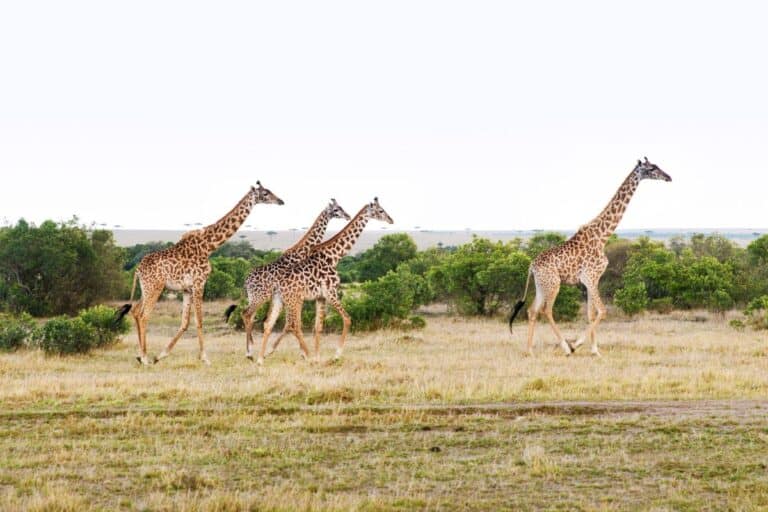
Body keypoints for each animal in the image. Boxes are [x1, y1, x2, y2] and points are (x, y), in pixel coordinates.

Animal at [115, 182, 284, 365]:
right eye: (265, 193)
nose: (281, 201)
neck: (209, 246)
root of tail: (138, 269)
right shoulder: (199, 283)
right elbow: (199, 320)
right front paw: (205, 358)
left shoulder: (187, 289)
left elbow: (185, 322)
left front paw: (161, 355)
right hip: (155, 287)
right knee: (144, 315)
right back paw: (144, 358)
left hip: (146, 288)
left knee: (135, 311)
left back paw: (141, 356)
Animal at [225, 199, 351, 360]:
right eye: (336, 209)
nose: (347, 216)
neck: (300, 252)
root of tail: (246, 280)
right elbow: (292, 322)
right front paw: (303, 353)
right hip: (260, 297)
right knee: (246, 313)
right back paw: (249, 352)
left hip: (255, 297)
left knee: (249, 315)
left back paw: (252, 348)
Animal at [256, 198, 393, 365]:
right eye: (380, 211)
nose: (391, 220)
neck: (334, 256)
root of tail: (276, 284)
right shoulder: (331, 292)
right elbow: (347, 319)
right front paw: (335, 355)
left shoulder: (320, 297)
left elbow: (318, 327)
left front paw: (318, 358)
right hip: (294, 300)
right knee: (293, 324)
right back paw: (303, 355)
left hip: (280, 300)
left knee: (271, 323)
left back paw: (260, 358)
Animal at [508, 158, 671, 357]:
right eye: (651, 168)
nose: (668, 177)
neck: (602, 236)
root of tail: (531, 265)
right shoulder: (590, 277)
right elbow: (602, 311)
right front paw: (577, 345)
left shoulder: (592, 280)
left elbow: (591, 313)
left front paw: (594, 350)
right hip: (554, 283)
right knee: (547, 310)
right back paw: (565, 347)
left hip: (541, 284)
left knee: (532, 310)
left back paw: (530, 351)